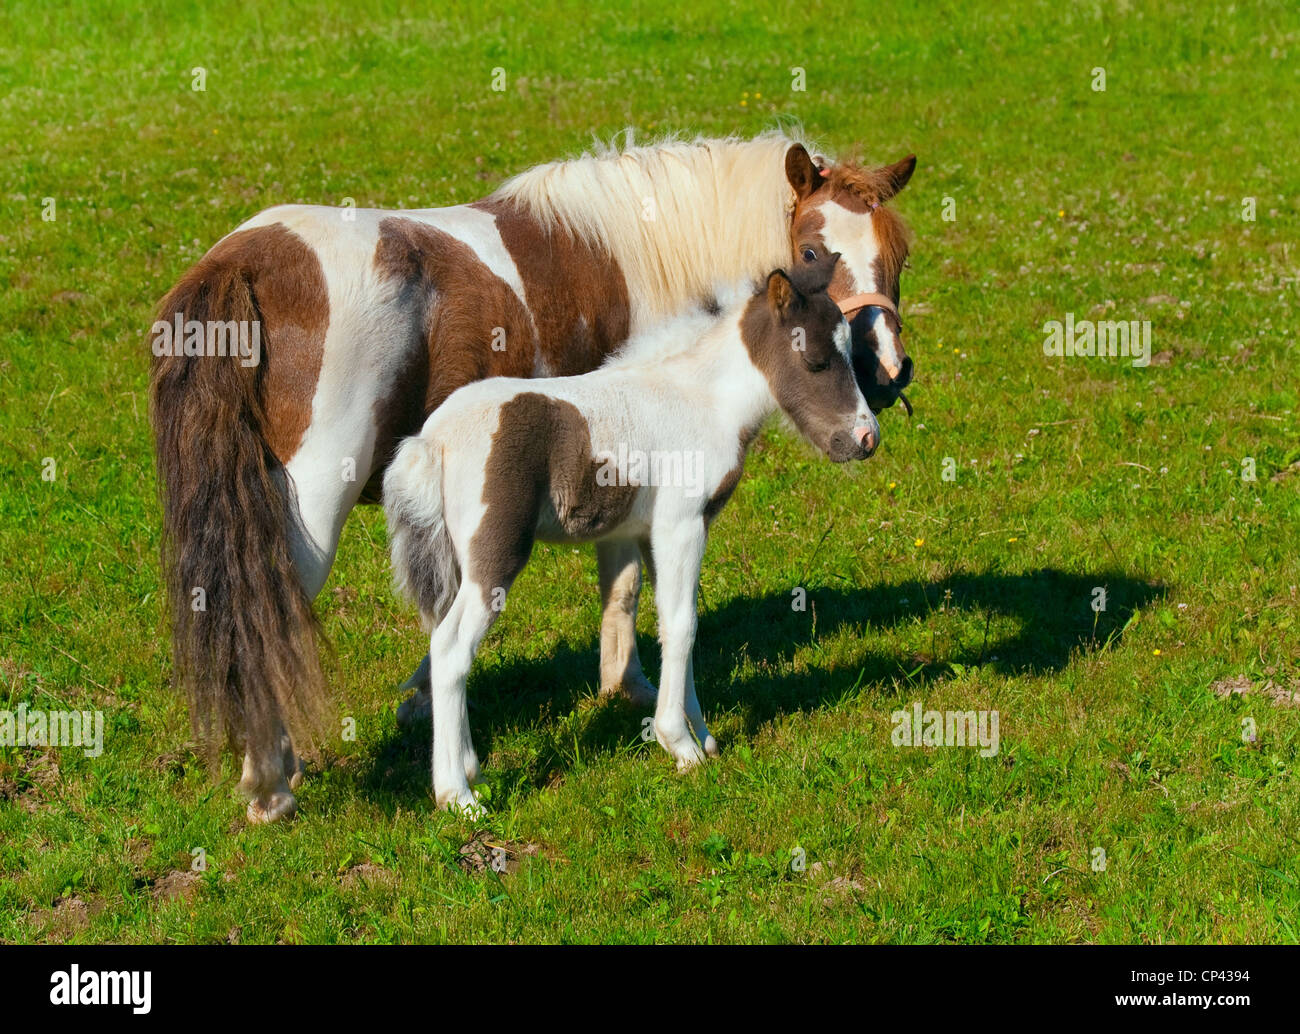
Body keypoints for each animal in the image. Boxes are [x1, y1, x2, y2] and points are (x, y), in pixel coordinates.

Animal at [384, 252, 878, 811]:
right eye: (815, 361)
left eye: (852, 354)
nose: (866, 438)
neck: (703, 399)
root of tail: (432, 439)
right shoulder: (682, 525)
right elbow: (684, 625)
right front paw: (679, 745)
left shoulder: (653, 534)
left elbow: (672, 619)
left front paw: (703, 734)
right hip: (495, 555)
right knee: (451, 650)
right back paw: (457, 797)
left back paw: (471, 767)